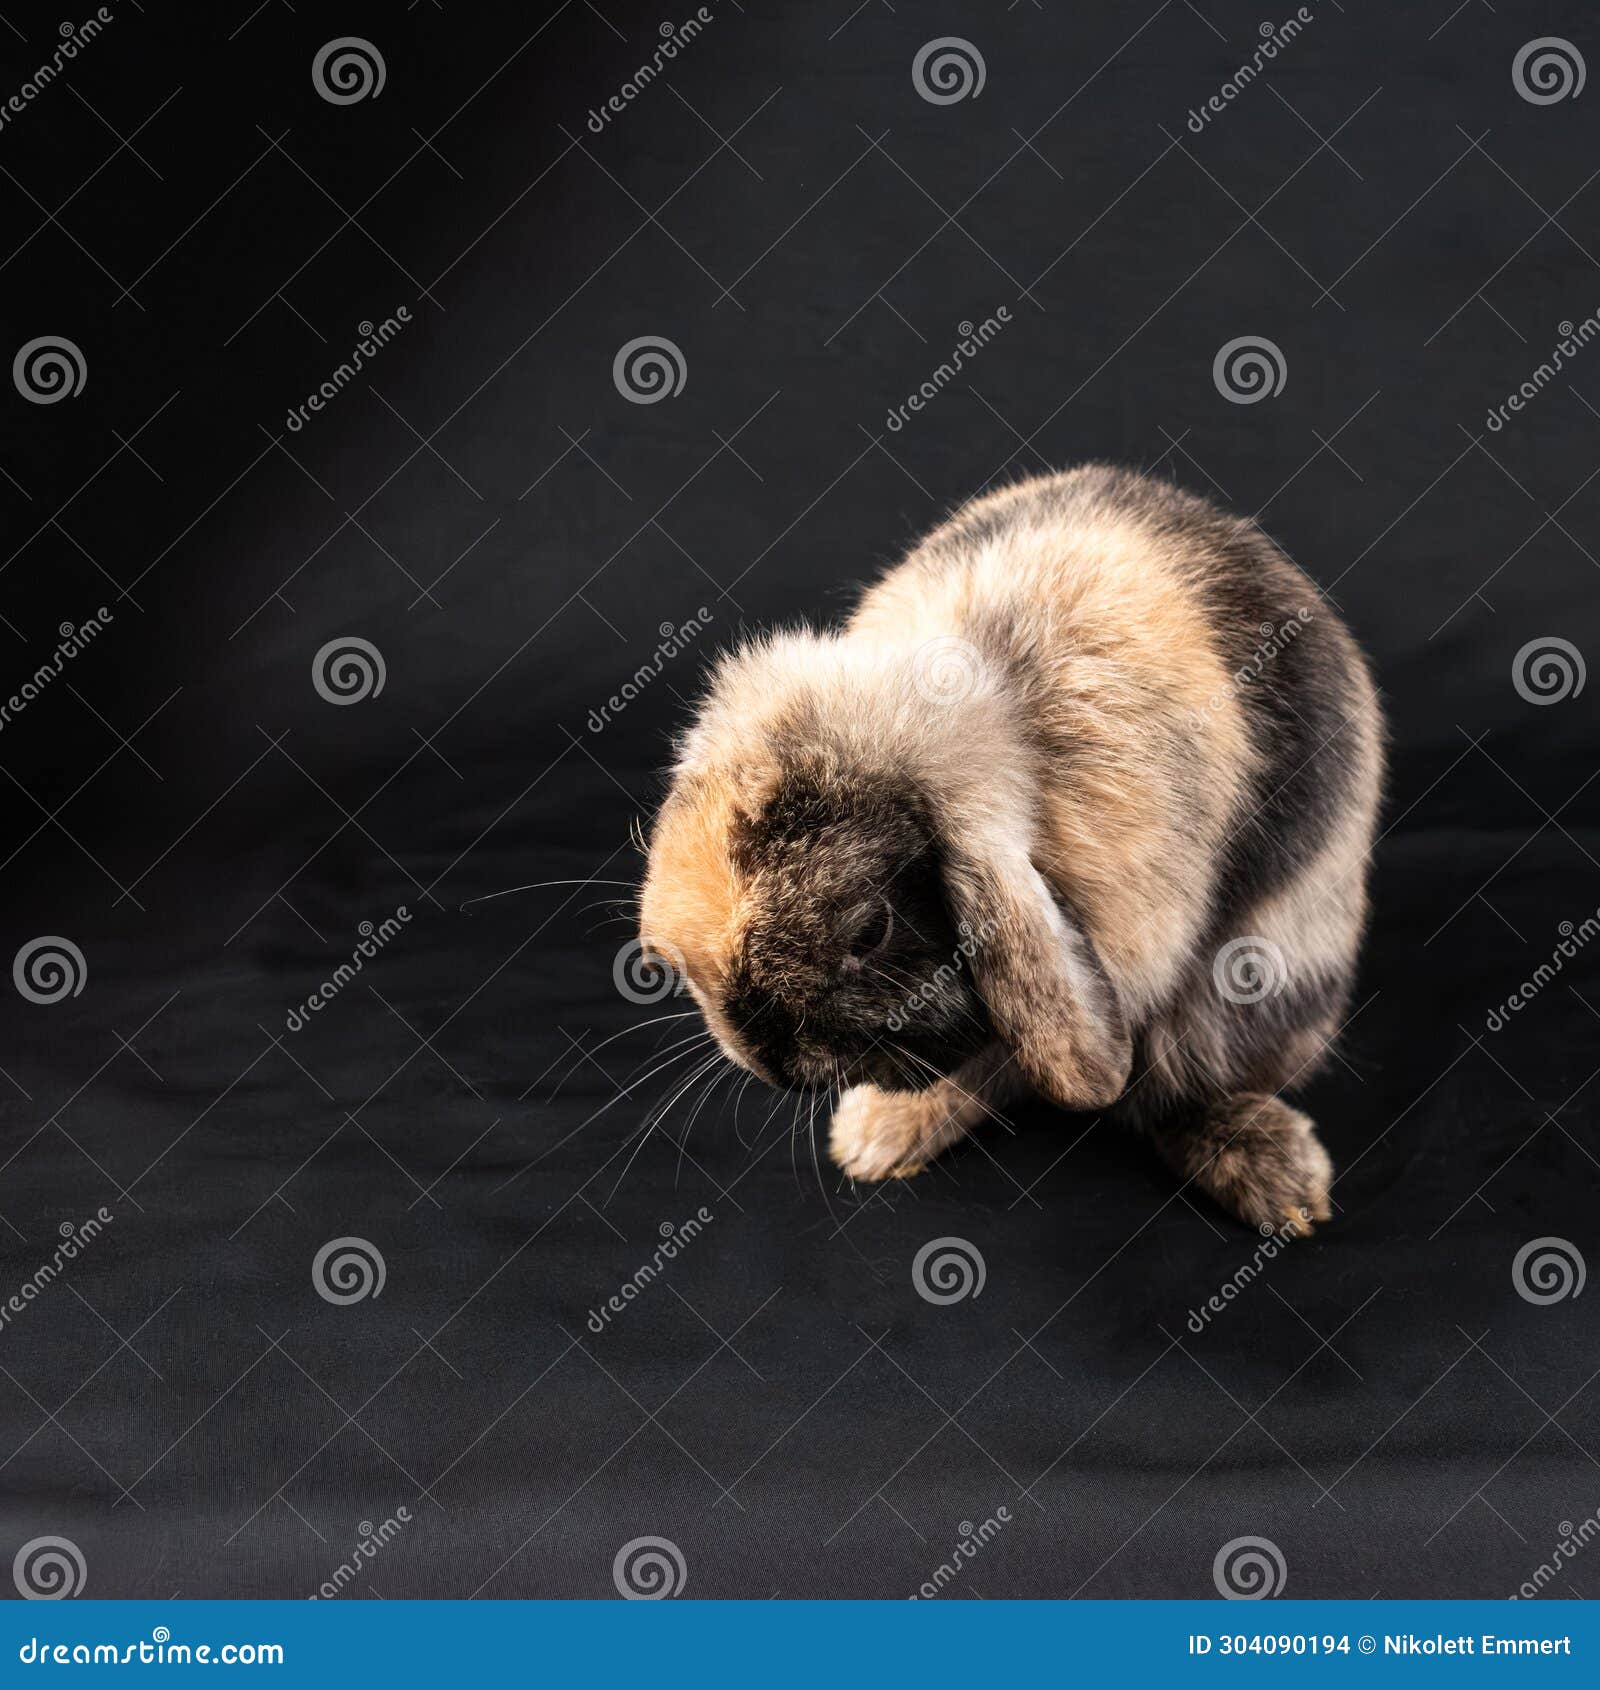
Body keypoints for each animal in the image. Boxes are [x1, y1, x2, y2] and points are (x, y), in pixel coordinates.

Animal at [638, 465, 1383, 1233]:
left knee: (1190, 1082)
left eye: (870, 929)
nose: (776, 1066)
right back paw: (880, 1136)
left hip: (1261, 978)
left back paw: (1279, 1181)